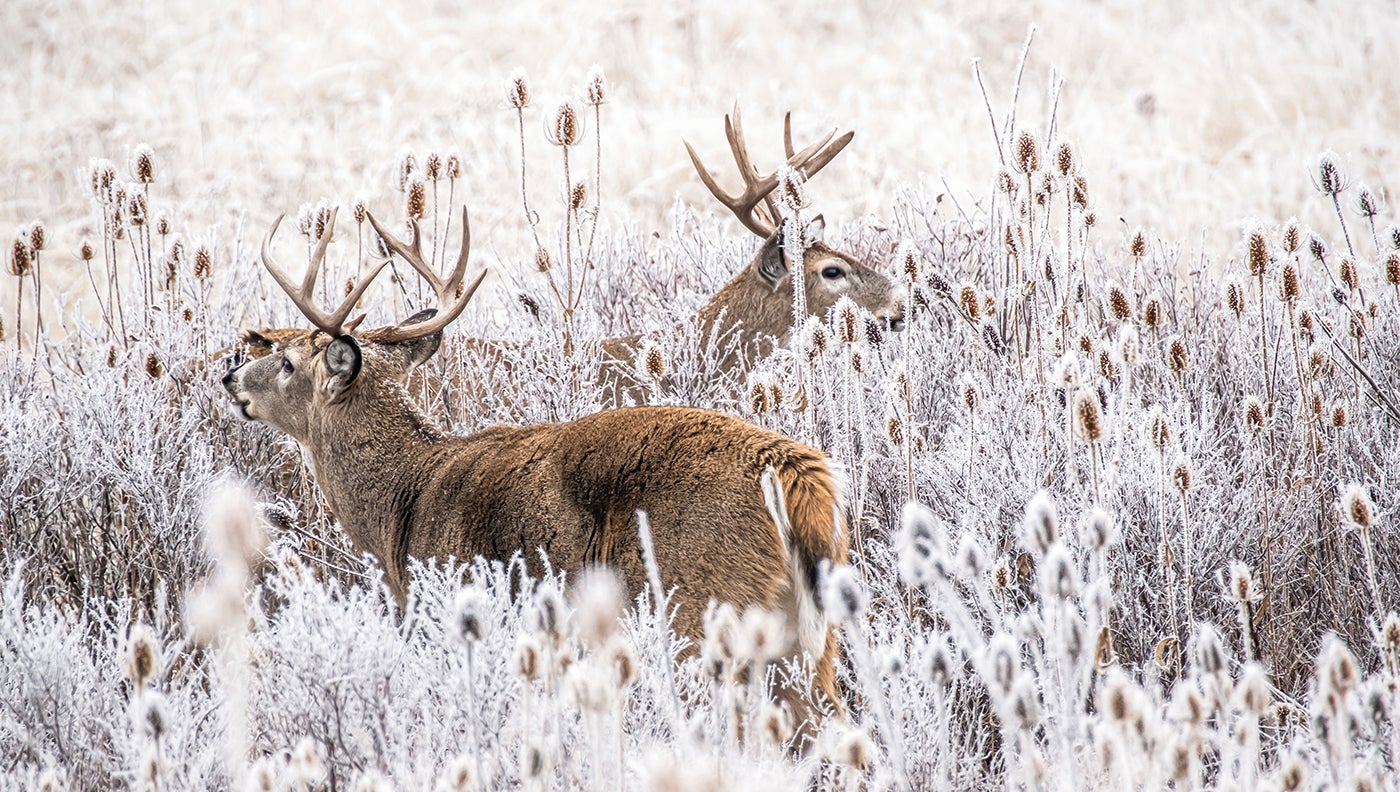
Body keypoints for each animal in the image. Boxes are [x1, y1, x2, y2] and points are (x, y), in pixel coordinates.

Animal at [222, 208, 851, 733]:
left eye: (286, 362)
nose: (230, 377)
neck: (405, 500)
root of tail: (797, 476)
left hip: (701, 608)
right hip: (810, 637)